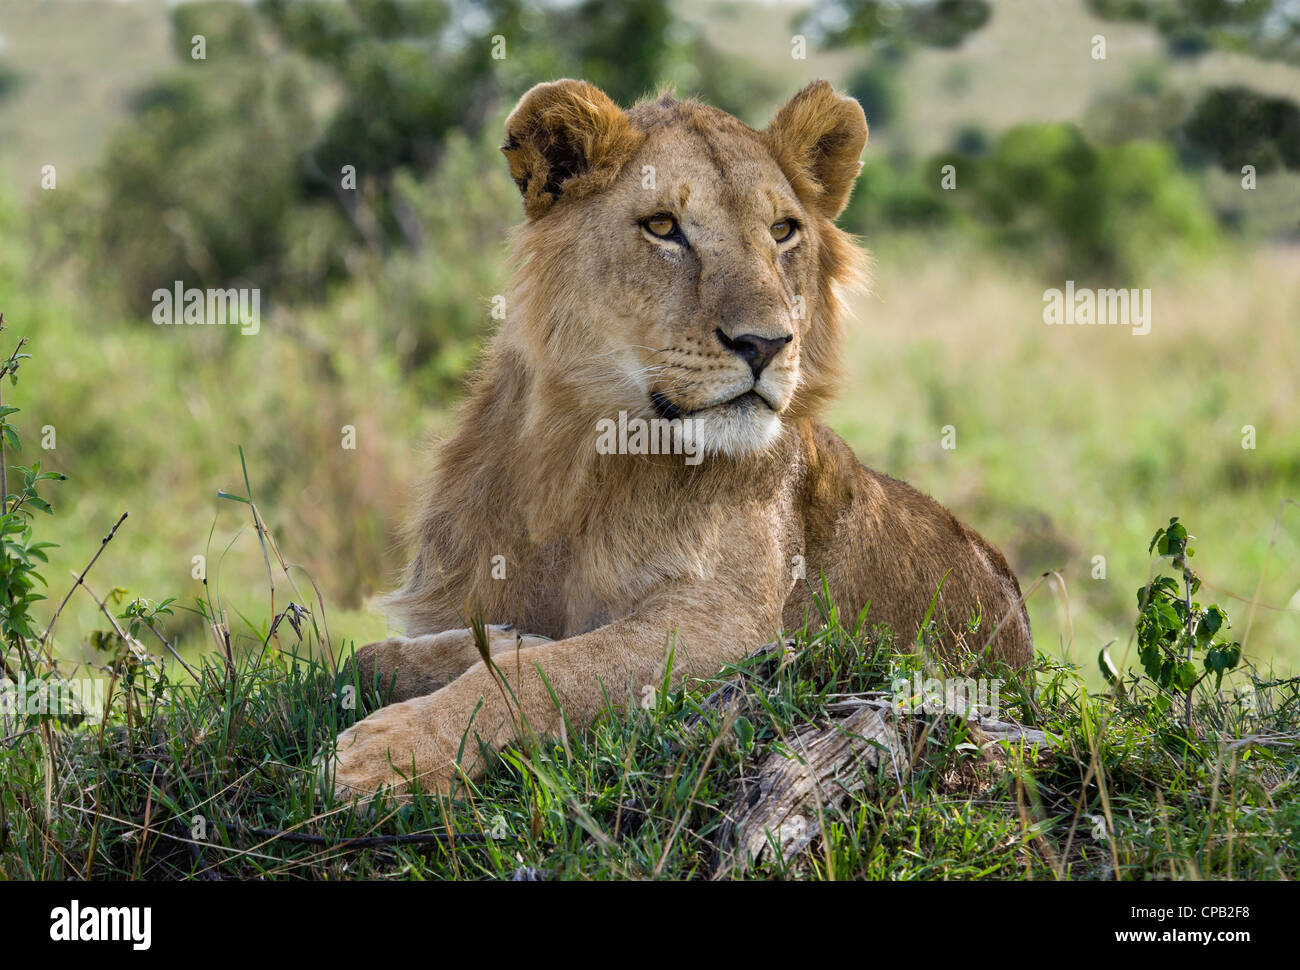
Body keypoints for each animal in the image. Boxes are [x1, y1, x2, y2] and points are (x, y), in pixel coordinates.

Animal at [321, 79, 1033, 800]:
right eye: (663, 226)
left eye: (782, 231)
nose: (767, 344)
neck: (587, 463)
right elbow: (367, 656)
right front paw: (502, 644)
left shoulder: (732, 624)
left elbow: (551, 673)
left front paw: (390, 753)